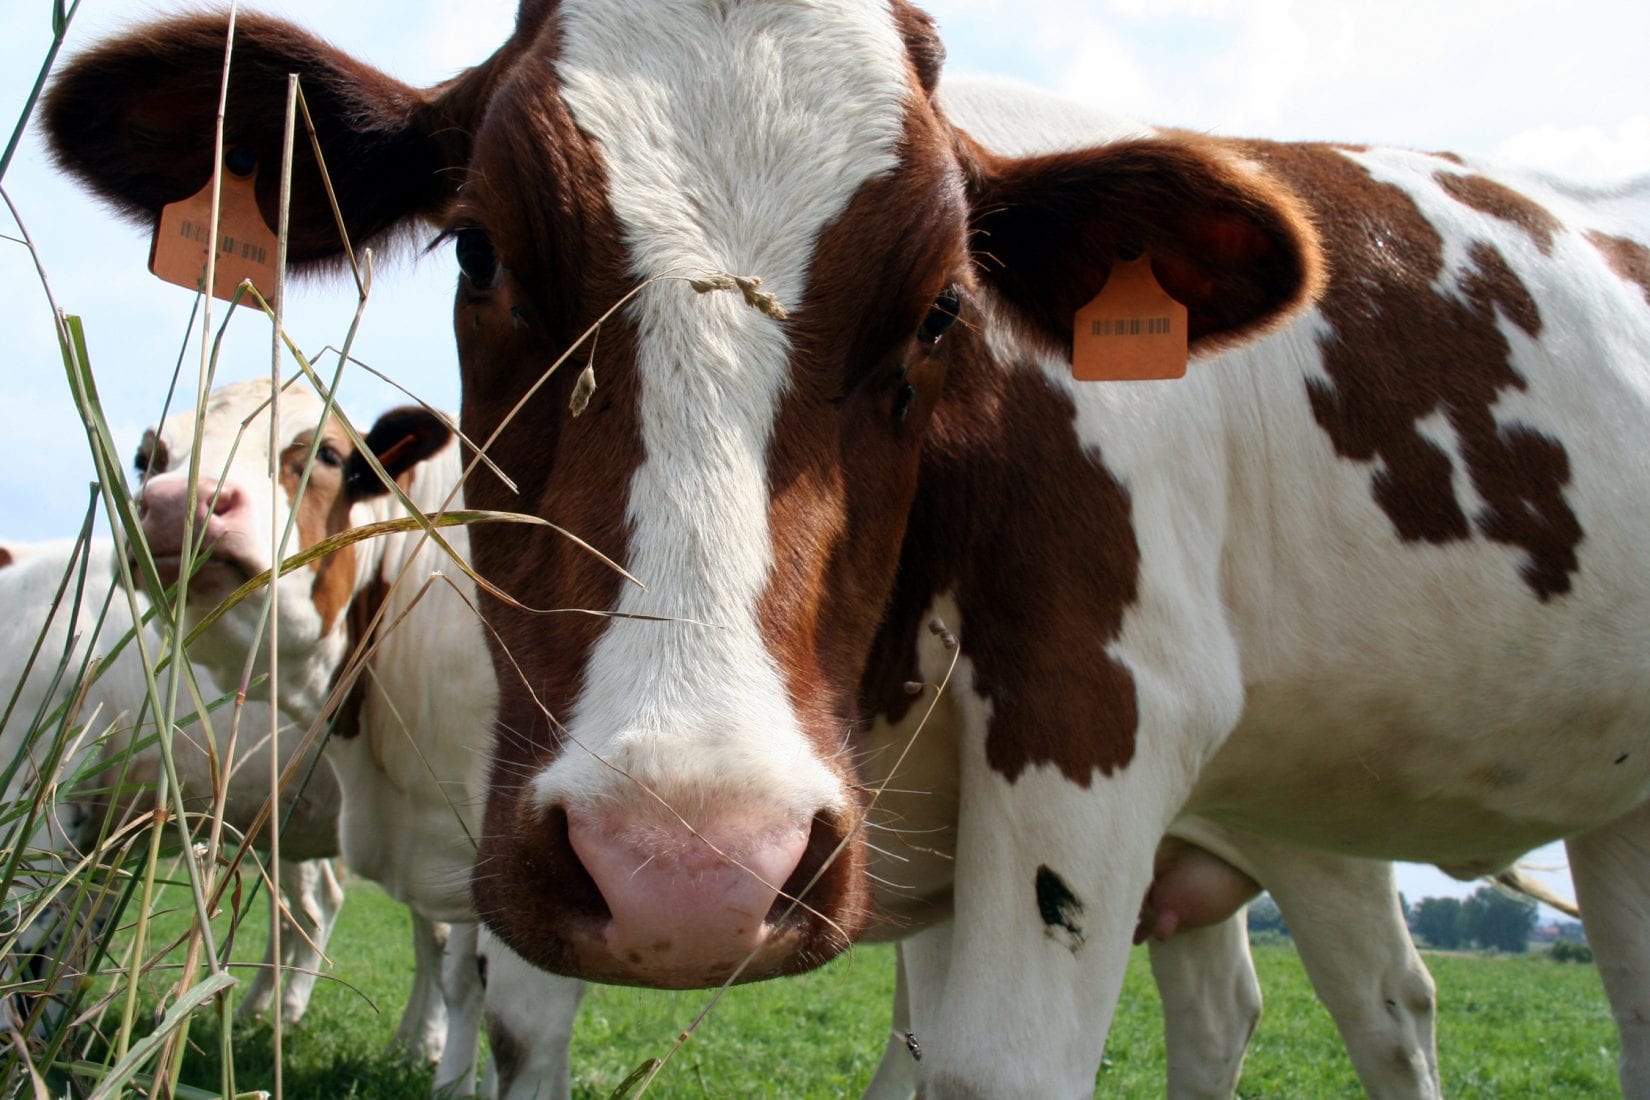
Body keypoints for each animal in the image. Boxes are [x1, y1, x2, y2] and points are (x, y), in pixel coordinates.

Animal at [42, 3, 1649, 1096]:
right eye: (477, 250)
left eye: (943, 306)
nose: (685, 864)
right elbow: (521, 1016)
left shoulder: (1096, 720)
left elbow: (993, 1062)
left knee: (1386, 1011)